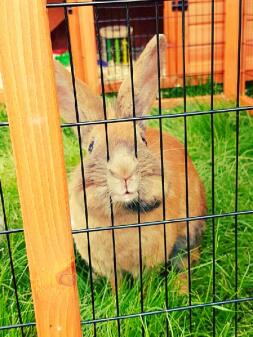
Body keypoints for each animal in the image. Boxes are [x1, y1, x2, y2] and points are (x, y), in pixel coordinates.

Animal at [54, 35, 207, 290]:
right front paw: (116, 295)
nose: (123, 170)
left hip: (189, 231)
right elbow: (116, 284)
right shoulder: (108, 267)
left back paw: (181, 290)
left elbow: (145, 282)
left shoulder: (149, 261)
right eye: (91, 147)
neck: (120, 216)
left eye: (142, 140)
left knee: (186, 260)